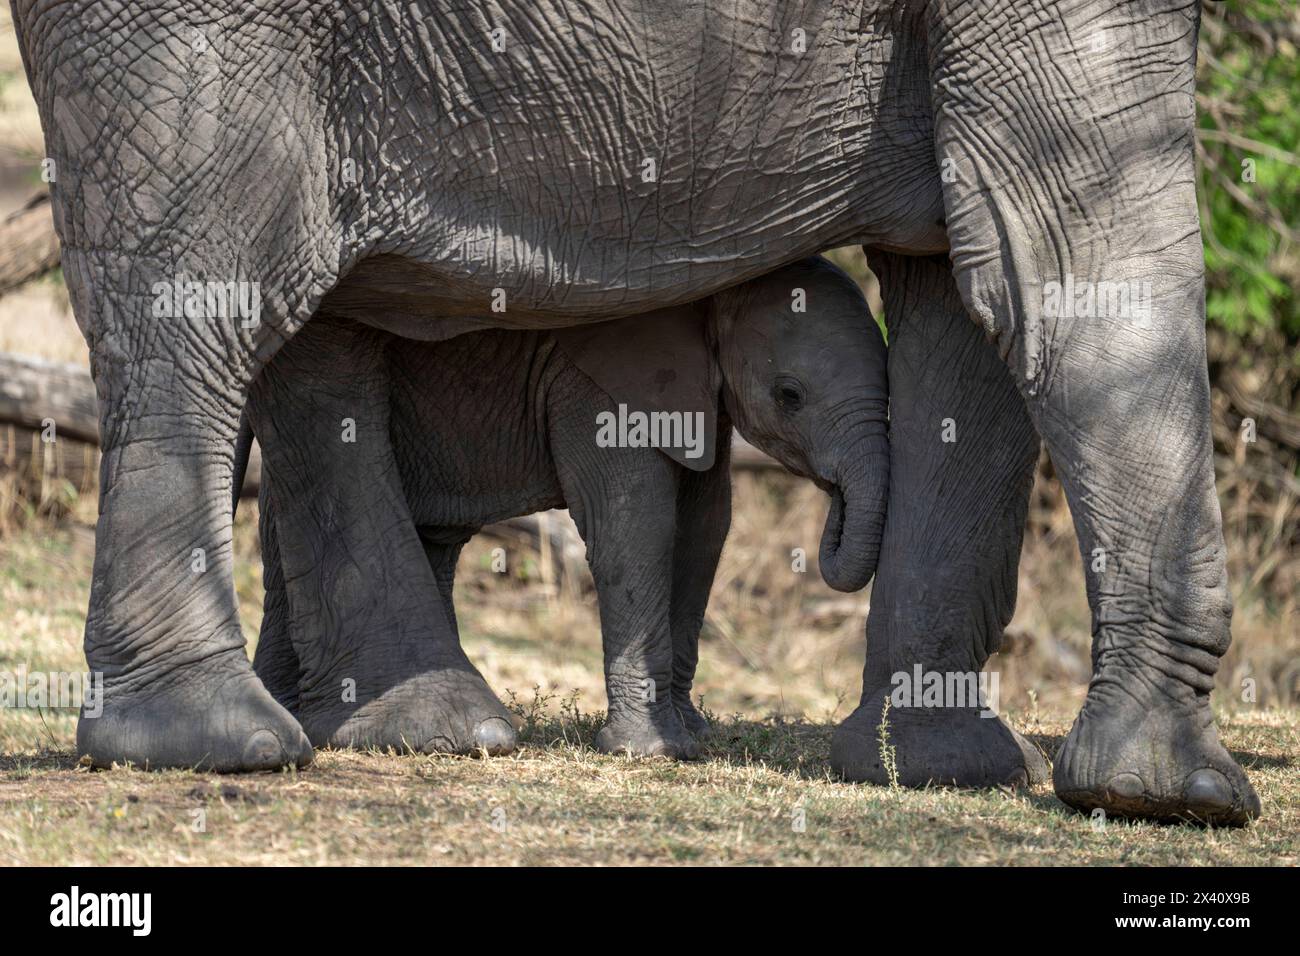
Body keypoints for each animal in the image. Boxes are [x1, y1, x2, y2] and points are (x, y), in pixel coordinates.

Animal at [245, 256, 888, 760]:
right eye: (790, 395)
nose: (833, 500)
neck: (713, 293)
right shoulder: (598, 385)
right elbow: (635, 526)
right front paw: (651, 752)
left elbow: (706, 528)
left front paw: (693, 735)